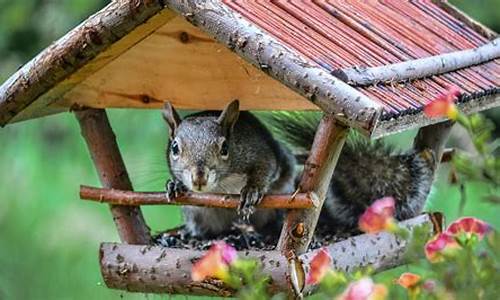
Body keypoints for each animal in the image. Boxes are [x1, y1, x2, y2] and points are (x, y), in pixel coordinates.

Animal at [162, 99, 296, 238]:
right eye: (174, 148)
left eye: (225, 148)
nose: (199, 178)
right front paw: (175, 185)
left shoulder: (259, 151)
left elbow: (266, 166)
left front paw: (252, 190)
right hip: (198, 215)